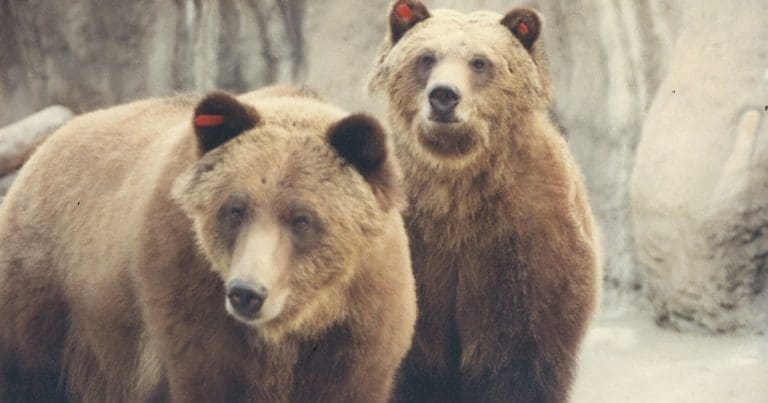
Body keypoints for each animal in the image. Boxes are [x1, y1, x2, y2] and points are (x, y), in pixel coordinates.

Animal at [0, 85, 417, 402]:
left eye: (302, 218)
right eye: (235, 209)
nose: (247, 292)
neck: (294, 324)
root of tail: (45, 149)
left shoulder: (359, 324)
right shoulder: (189, 293)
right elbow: (209, 373)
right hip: (50, 299)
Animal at [368, 2, 602, 402]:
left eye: (479, 62)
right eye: (426, 57)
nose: (444, 95)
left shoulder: (524, 242)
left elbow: (519, 357)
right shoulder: (418, 252)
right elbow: (411, 362)